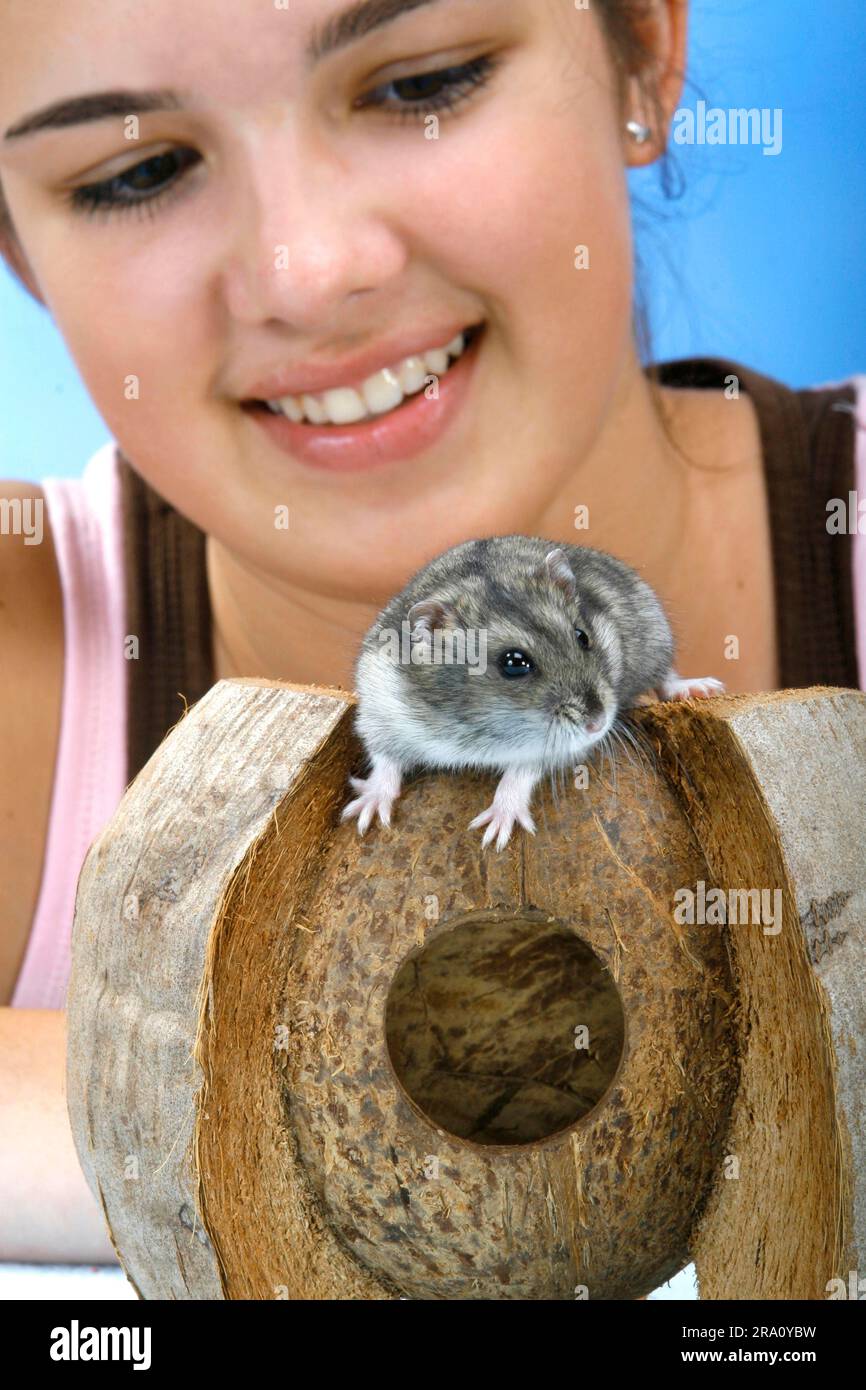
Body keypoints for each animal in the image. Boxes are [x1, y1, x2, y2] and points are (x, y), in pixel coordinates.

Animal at [339, 535, 724, 851]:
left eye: (583, 636)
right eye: (514, 663)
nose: (598, 725)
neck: (480, 724)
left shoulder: (556, 748)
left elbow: (520, 772)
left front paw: (495, 832)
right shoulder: (380, 714)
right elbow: (385, 762)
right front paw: (363, 815)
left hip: (655, 637)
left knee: (666, 676)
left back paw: (699, 687)